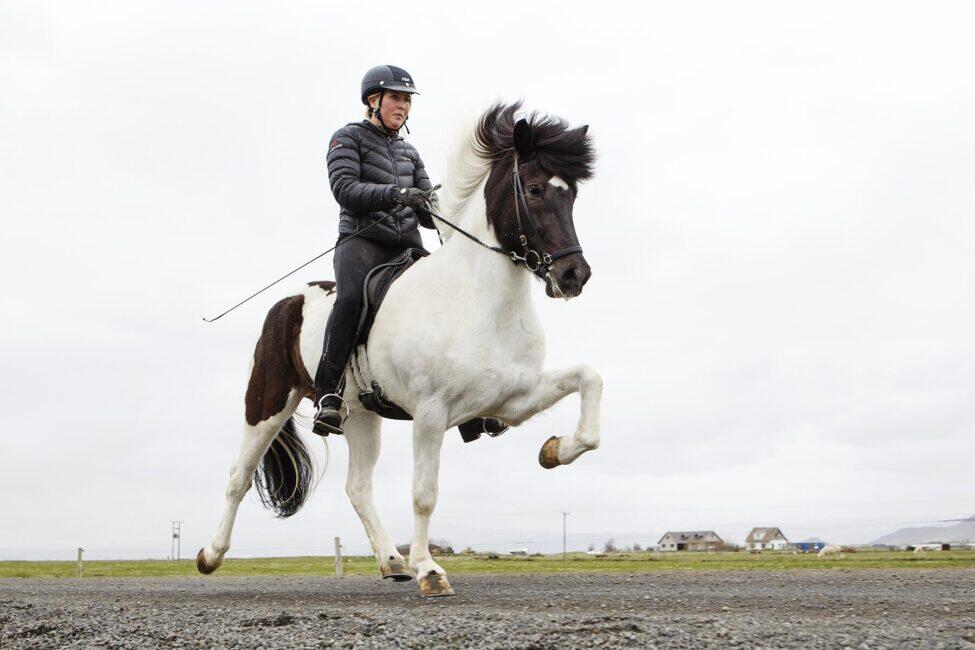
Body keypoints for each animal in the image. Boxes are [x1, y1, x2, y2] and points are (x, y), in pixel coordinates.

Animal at [196, 102, 602, 597]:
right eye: (535, 189)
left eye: (572, 195)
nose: (574, 276)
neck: (479, 299)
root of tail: (289, 301)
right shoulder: (431, 413)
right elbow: (424, 494)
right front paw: (430, 571)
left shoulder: (513, 400)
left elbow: (589, 382)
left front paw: (554, 450)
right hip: (267, 402)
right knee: (238, 477)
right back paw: (210, 556)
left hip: (359, 416)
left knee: (357, 487)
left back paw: (392, 561)